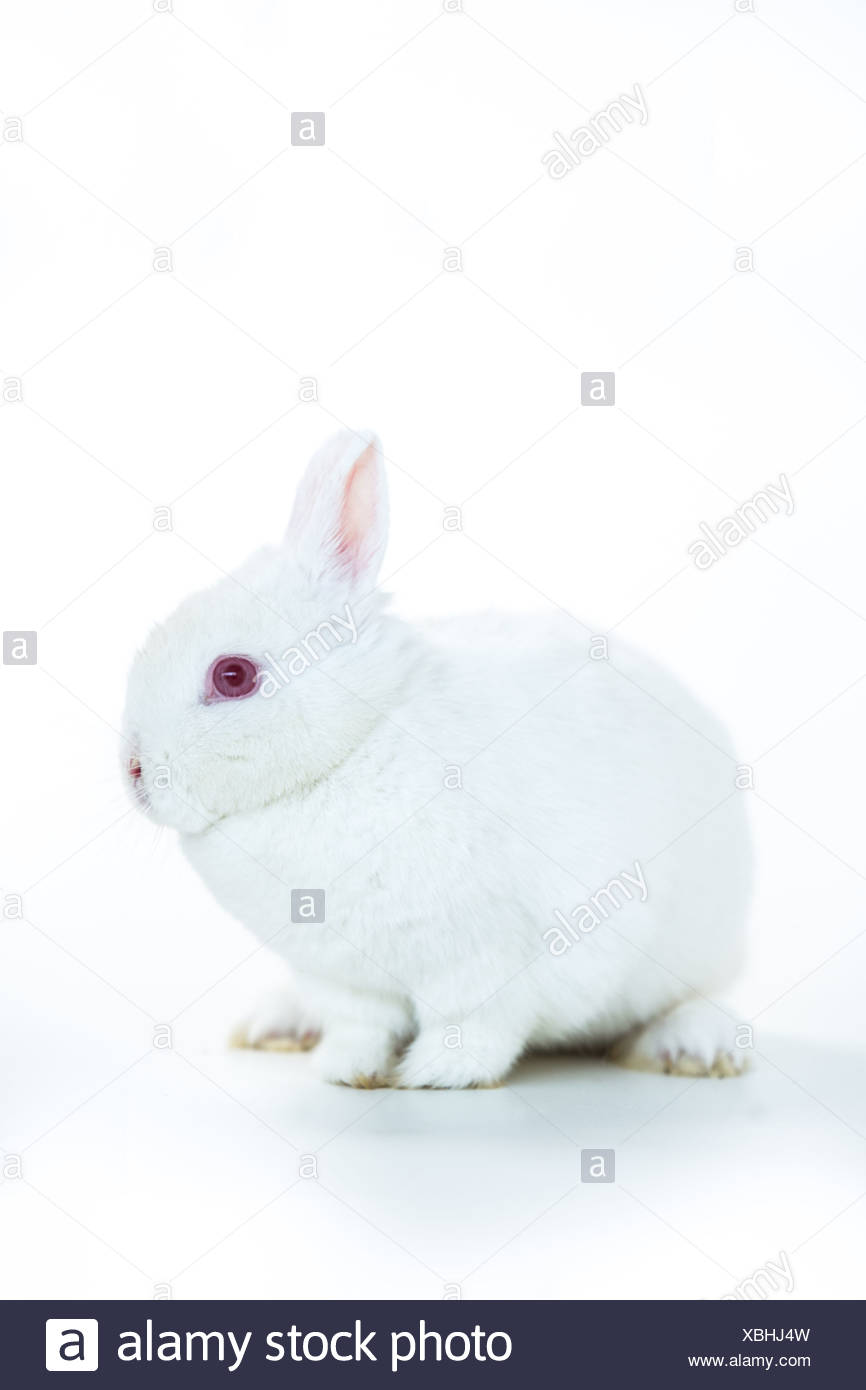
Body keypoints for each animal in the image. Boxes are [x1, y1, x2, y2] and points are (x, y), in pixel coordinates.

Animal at [123, 429, 752, 1088]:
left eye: (233, 675)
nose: (134, 772)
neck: (356, 744)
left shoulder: (484, 962)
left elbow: (473, 1026)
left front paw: (436, 1075)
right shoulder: (344, 981)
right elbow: (361, 1028)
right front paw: (346, 1071)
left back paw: (692, 1048)